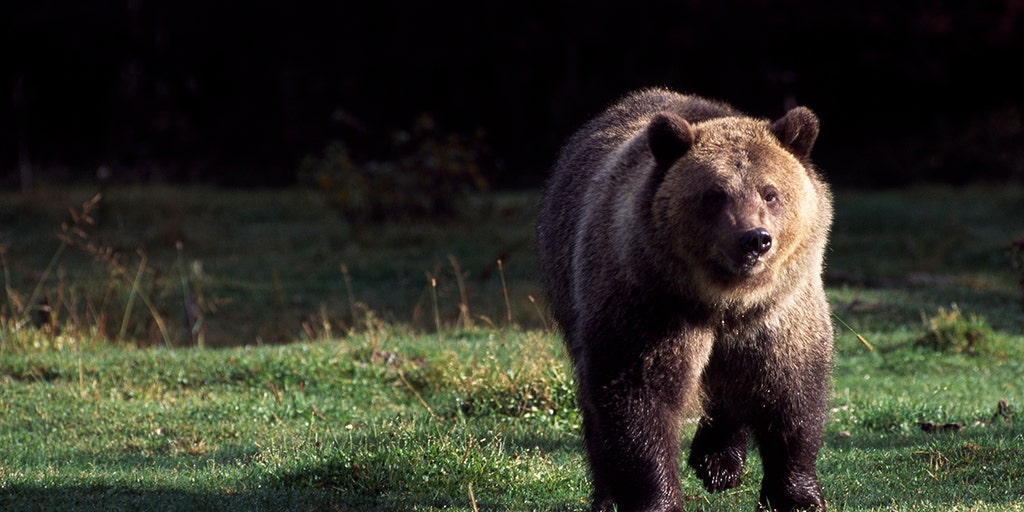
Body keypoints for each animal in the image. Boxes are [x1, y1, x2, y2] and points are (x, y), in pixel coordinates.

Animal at [535, 88, 833, 512]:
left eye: (771, 193)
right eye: (714, 195)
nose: (755, 239)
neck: (725, 300)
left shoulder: (780, 312)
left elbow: (790, 393)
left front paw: (798, 494)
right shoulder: (650, 306)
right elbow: (640, 397)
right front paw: (656, 497)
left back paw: (719, 462)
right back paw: (607, 495)